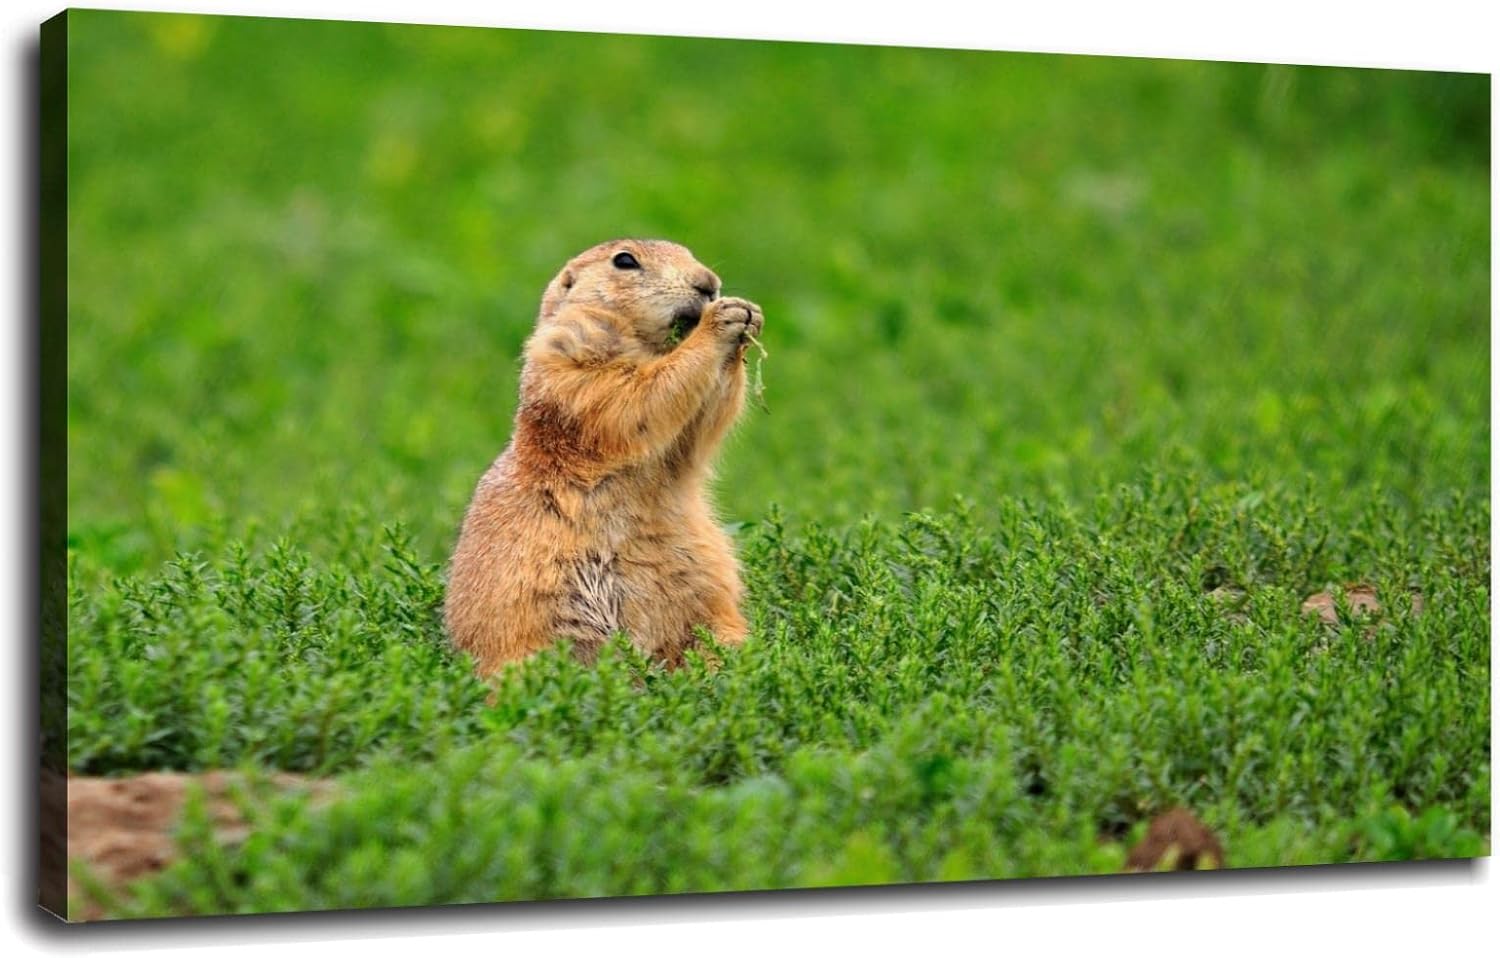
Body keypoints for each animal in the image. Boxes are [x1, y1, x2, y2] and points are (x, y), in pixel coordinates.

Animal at [444, 239, 764, 675]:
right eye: (625, 260)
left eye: (687, 251)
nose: (709, 283)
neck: (643, 343)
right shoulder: (569, 362)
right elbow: (632, 396)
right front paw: (718, 322)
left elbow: (698, 429)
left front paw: (749, 317)